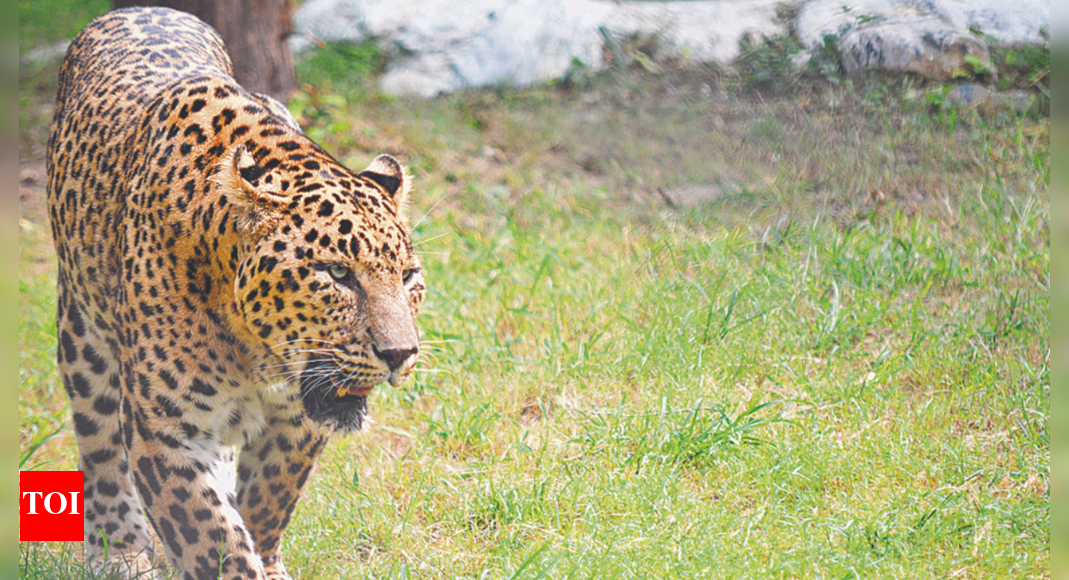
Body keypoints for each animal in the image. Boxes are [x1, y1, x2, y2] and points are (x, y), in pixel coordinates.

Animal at [45, 7, 424, 579]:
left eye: (408, 277)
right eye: (338, 274)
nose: (400, 354)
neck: (256, 353)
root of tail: (137, 9)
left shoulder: (296, 421)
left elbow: (267, 503)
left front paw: (267, 558)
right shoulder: (164, 430)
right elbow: (211, 536)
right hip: (82, 335)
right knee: (100, 444)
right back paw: (121, 552)